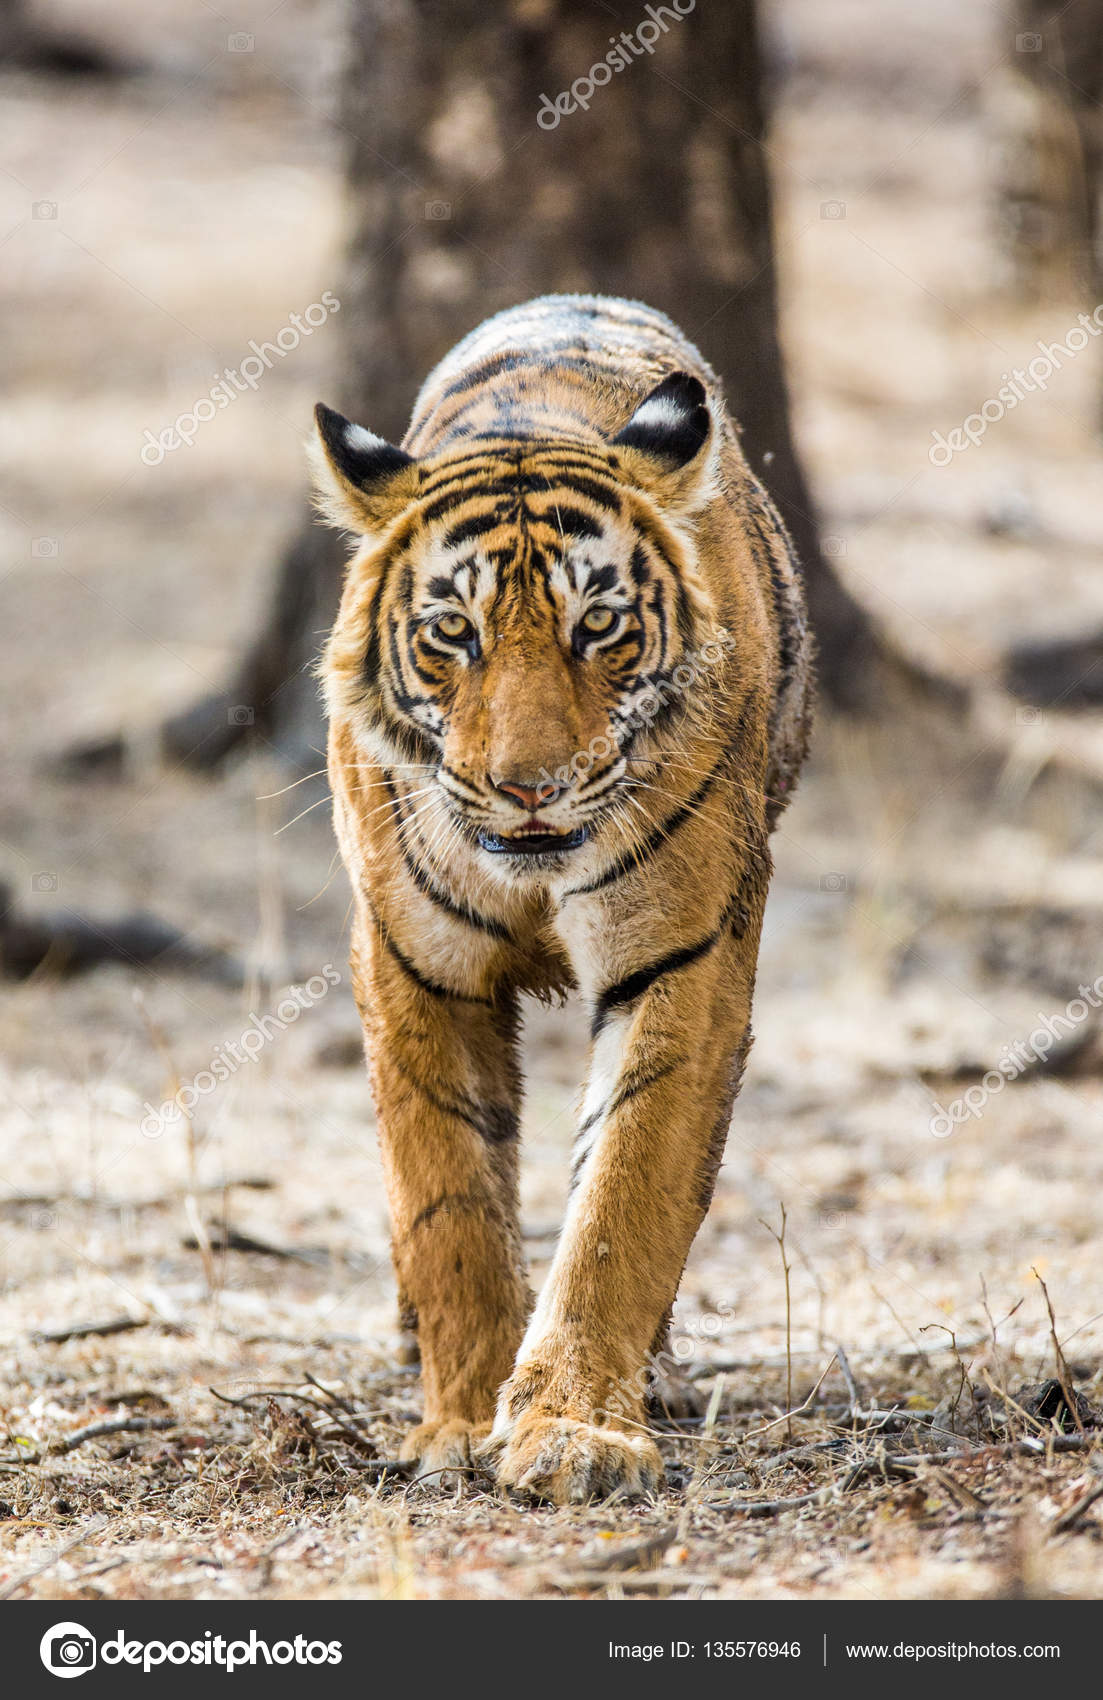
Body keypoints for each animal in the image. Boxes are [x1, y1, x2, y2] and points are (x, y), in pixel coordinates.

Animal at [312, 293, 812, 1504]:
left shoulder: (683, 960)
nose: (527, 785)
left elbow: (623, 1195)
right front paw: (457, 1419)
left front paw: (573, 1427)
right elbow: (446, 1197)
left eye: (599, 626)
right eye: (453, 632)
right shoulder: (411, 965)